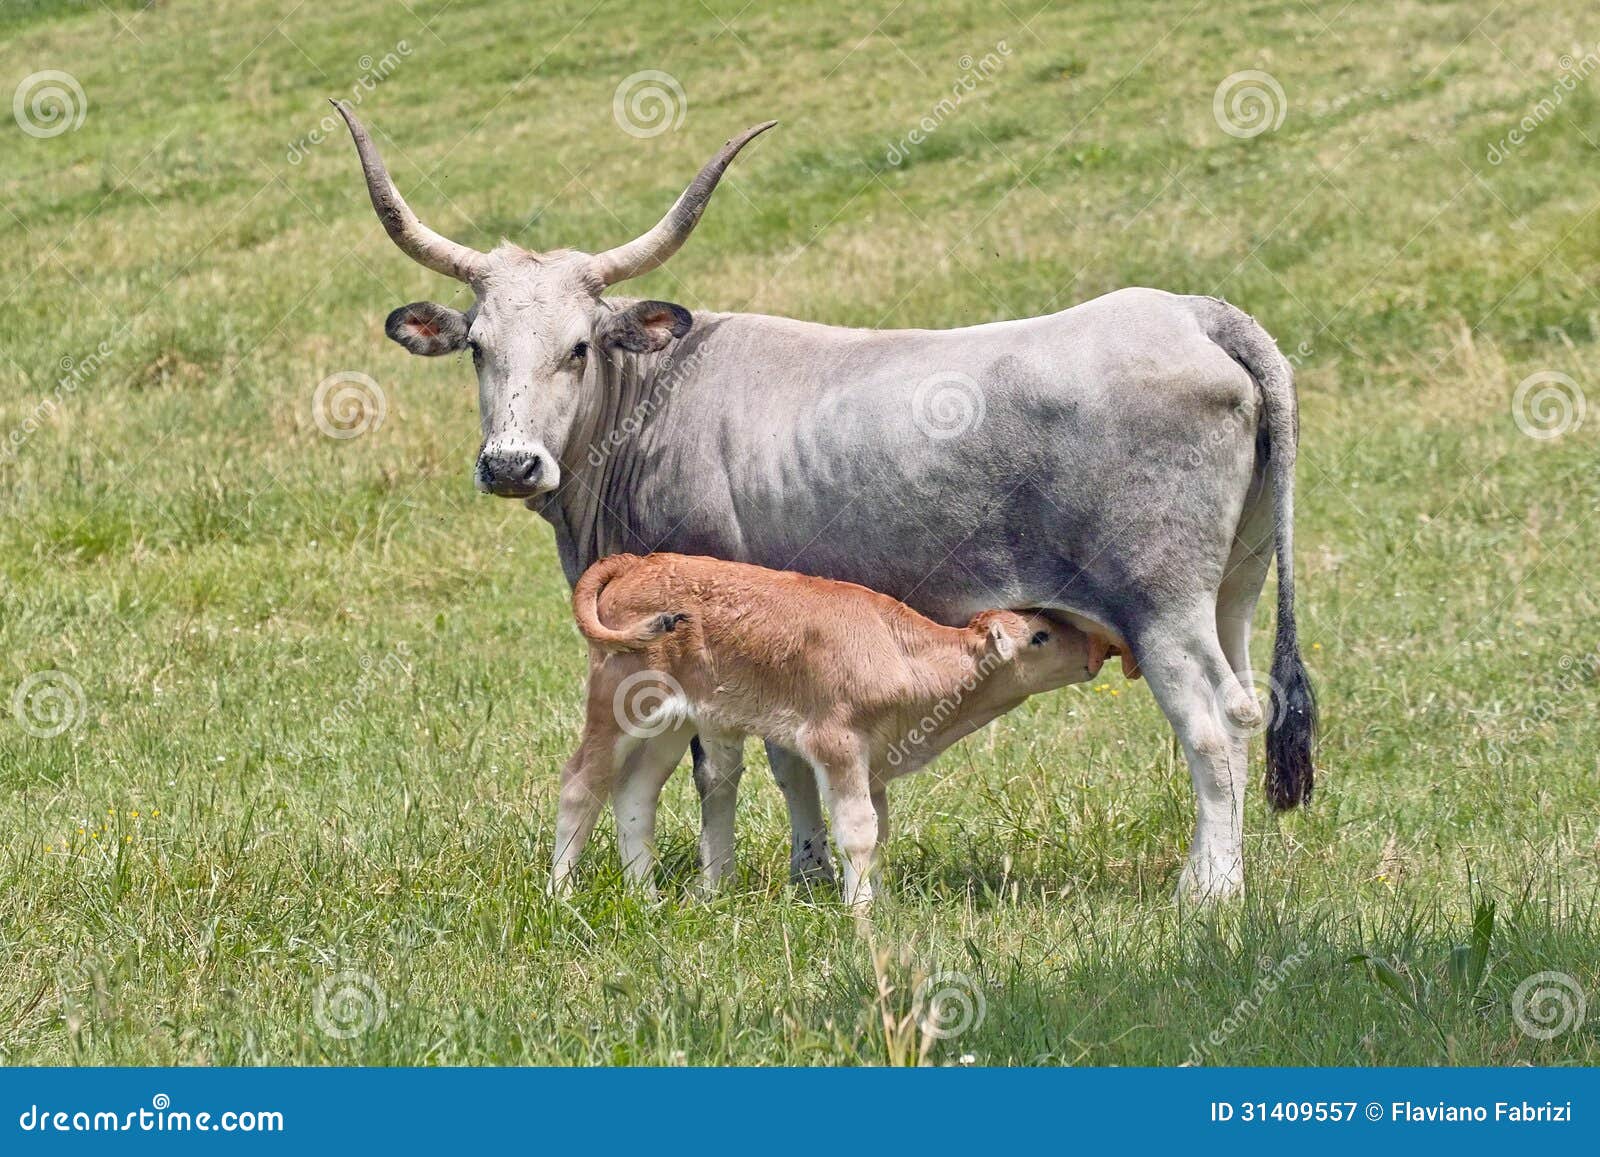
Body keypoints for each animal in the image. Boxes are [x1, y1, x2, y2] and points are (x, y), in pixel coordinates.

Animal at [558, 551, 1109, 904]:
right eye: (1040, 636)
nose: (1092, 651)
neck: (900, 652)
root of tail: (639, 561)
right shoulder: (837, 744)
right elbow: (858, 831)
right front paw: (861, 913)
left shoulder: (878, 761)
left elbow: (881, 830)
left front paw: (881, 903)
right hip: (615, 708)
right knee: (580, 785)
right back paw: (560, 893)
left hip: (670, 724)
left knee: (634, 795)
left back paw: (645, 897)